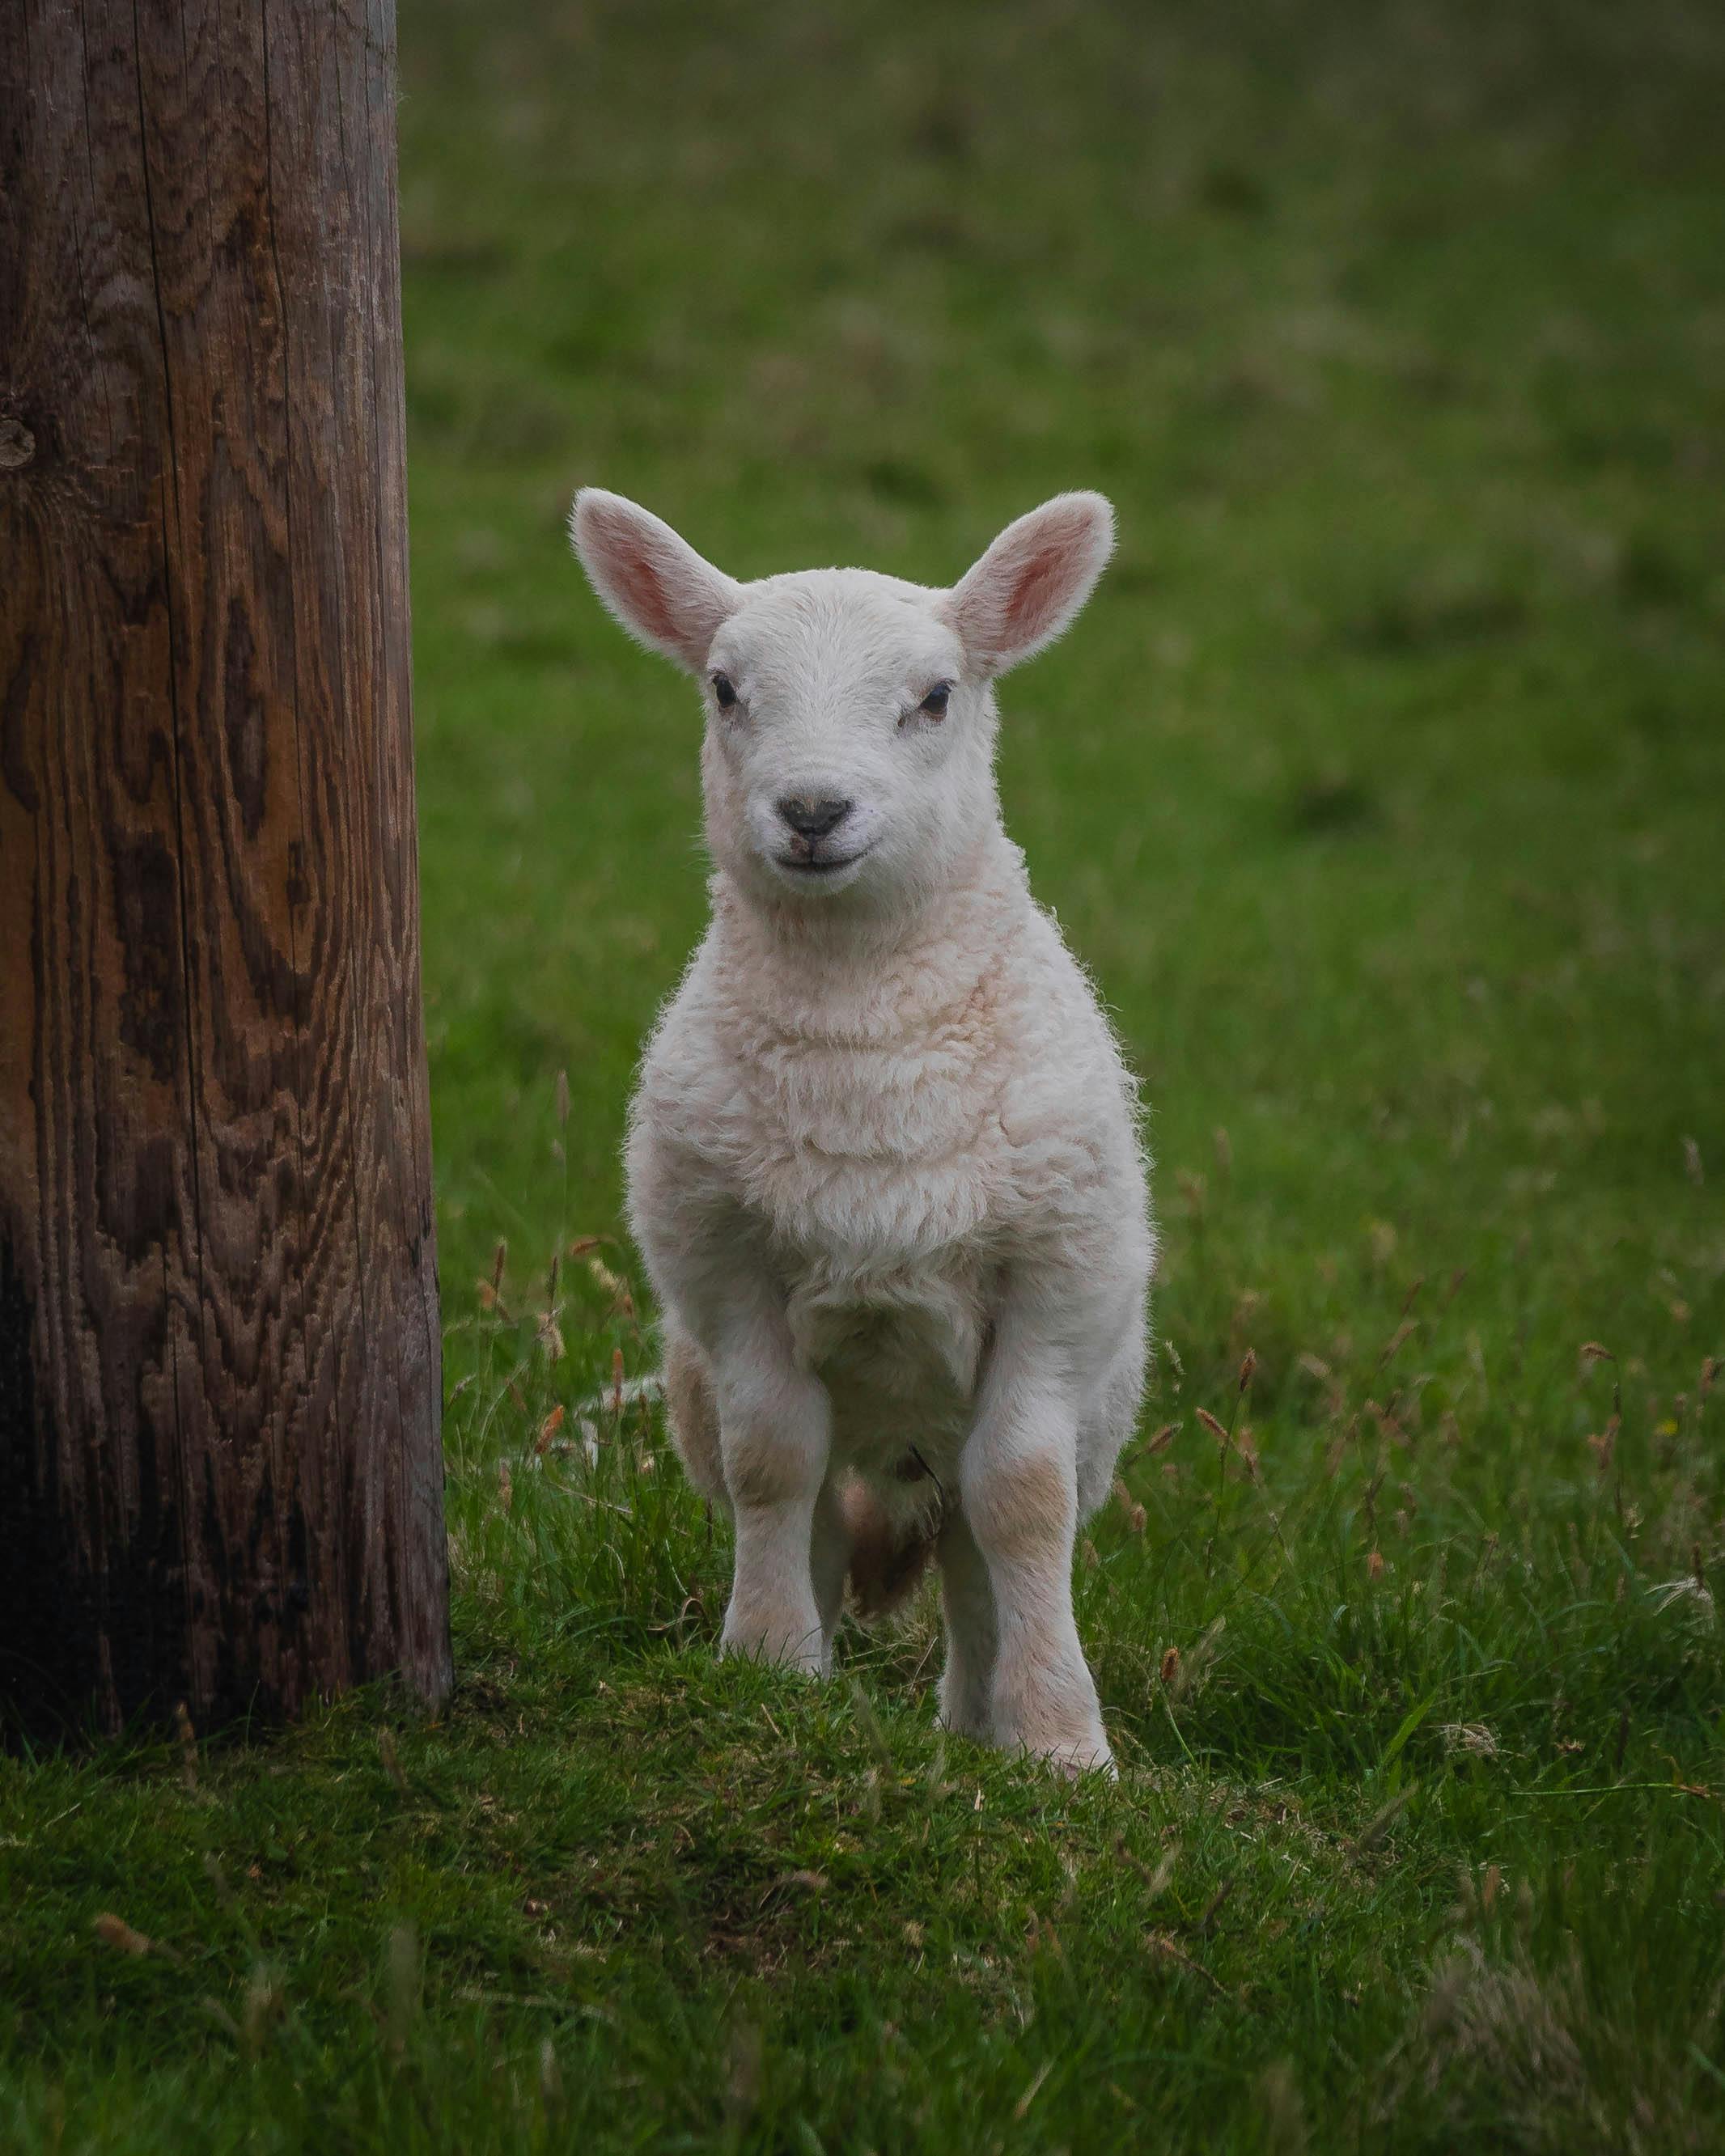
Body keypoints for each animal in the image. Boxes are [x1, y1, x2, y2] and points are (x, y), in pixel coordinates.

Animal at [570, 488, 1155, 1774]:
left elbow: (1023, 1500)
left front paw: (1061, 1741)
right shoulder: (720, 1257)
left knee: (973, 1544)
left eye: (935, 696)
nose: (811, 810)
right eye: (724, 688)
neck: (864, 1039)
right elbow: (770, 1460)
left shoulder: (1058, 1273)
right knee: (822, 1520)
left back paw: (978, 1724)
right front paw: (768, 1668)